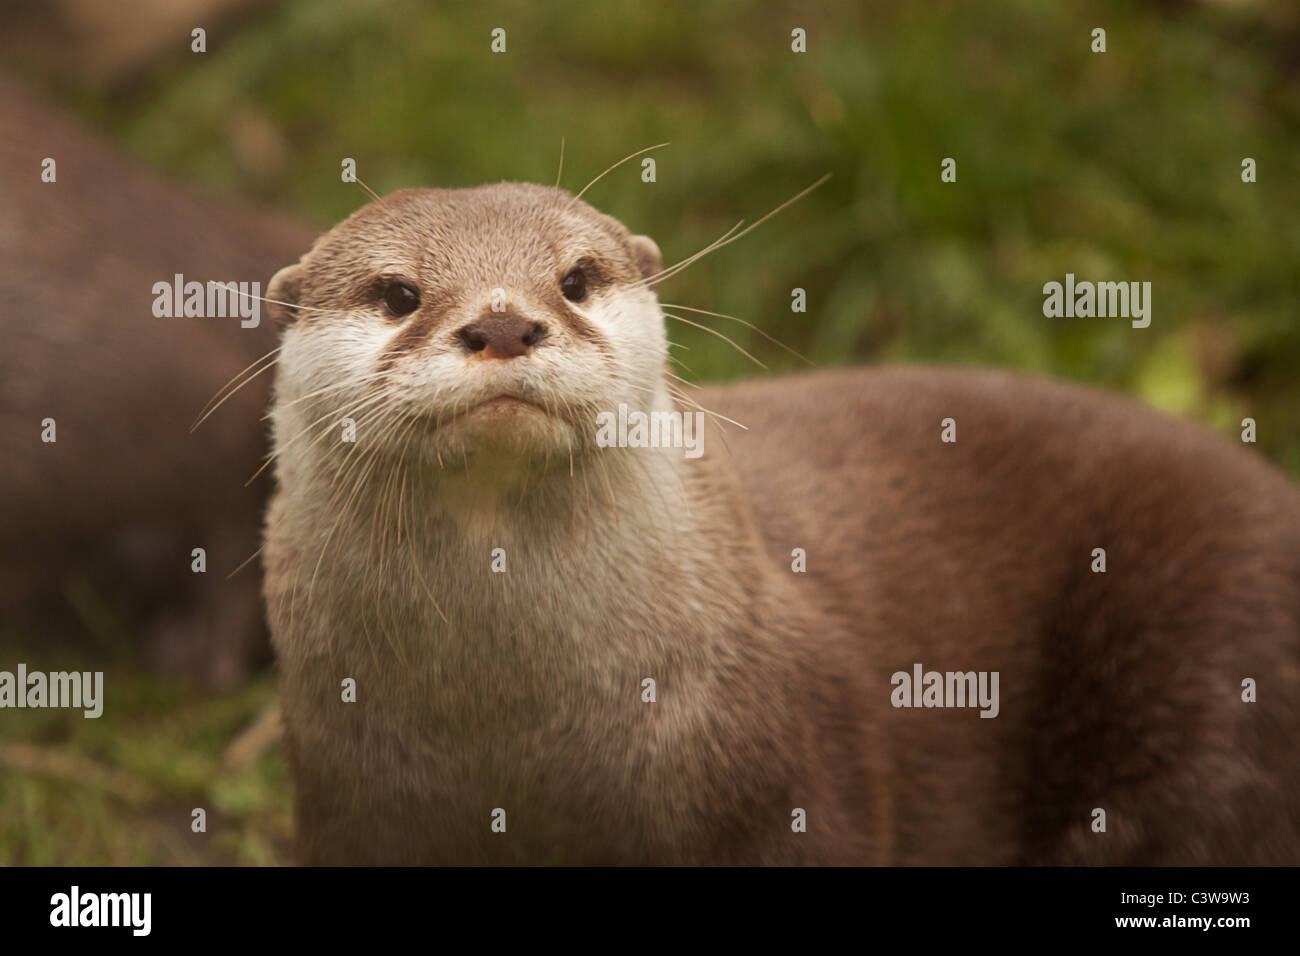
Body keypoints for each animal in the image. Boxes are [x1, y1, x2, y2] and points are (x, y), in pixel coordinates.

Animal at [263, 181, 1300, 865]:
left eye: (577, 278)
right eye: (398, 294)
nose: (506, 324)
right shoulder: (352, 794)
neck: (519, 739)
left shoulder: (796, 771)